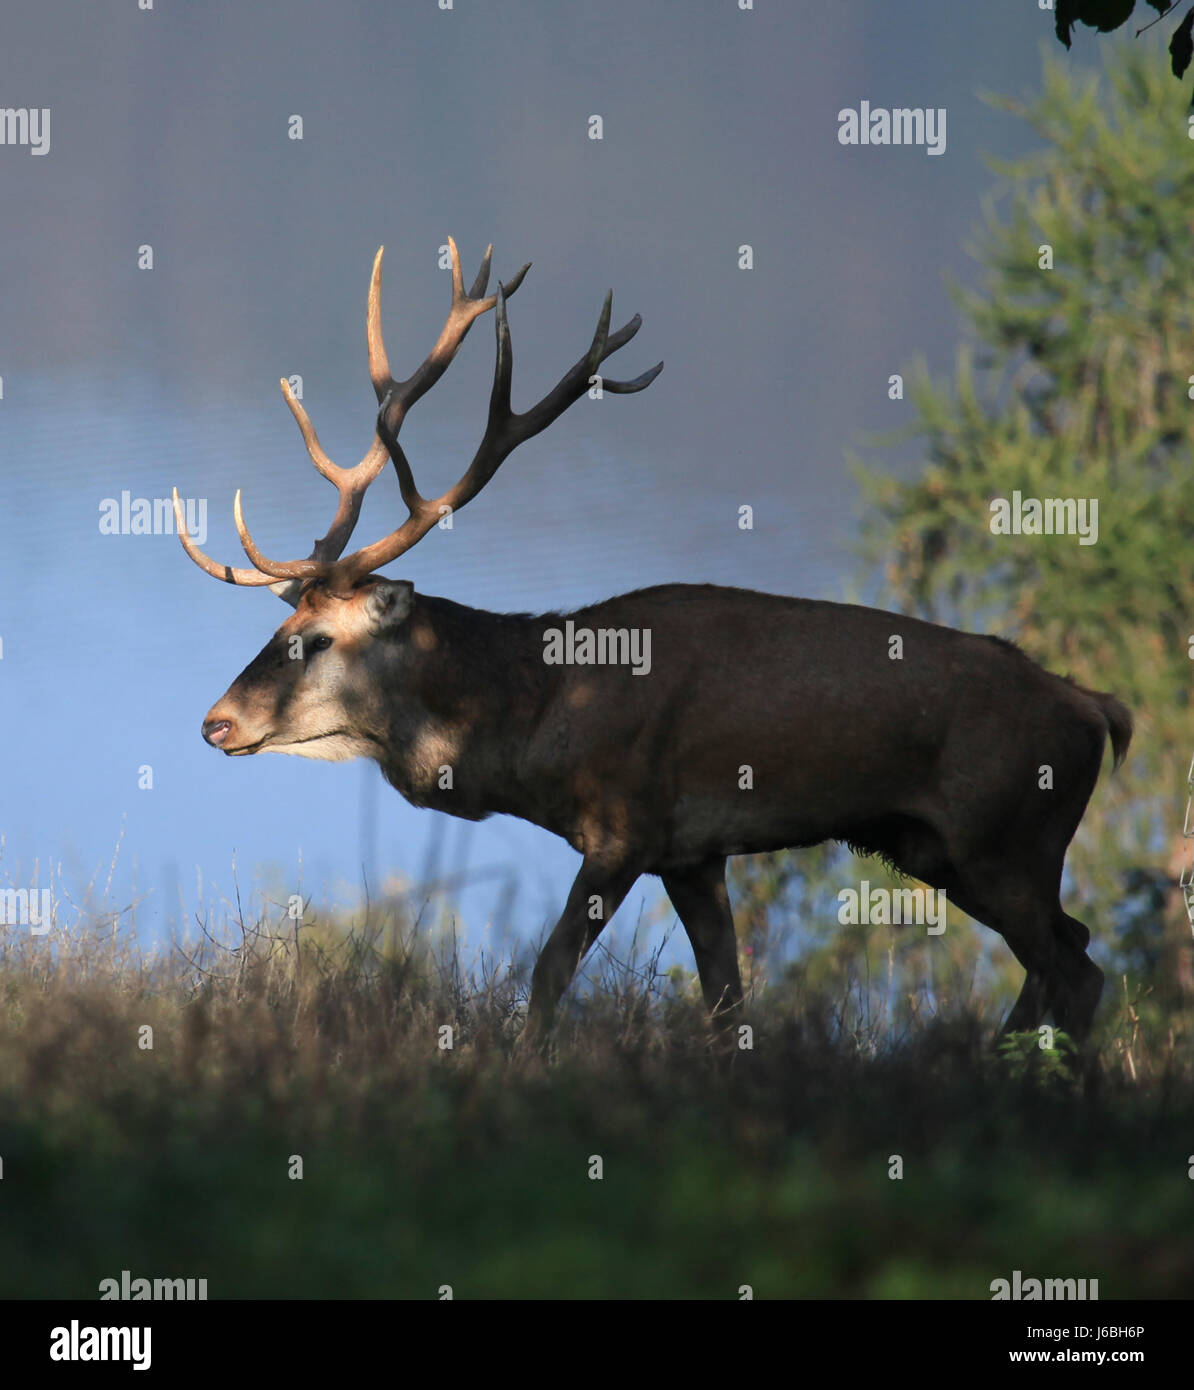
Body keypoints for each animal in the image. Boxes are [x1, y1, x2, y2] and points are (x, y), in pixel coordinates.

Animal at [174, 239, 1132, 1048]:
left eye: (316, 638)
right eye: (277, 626)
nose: (215, 722)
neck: (536, 720)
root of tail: (1098, 709)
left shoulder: (625, 826)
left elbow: (548, 976)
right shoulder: (694, 853)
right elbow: (727, 1001)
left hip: (1005, 837)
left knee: (1080, 970)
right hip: (956, 851)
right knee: (1071, 951)